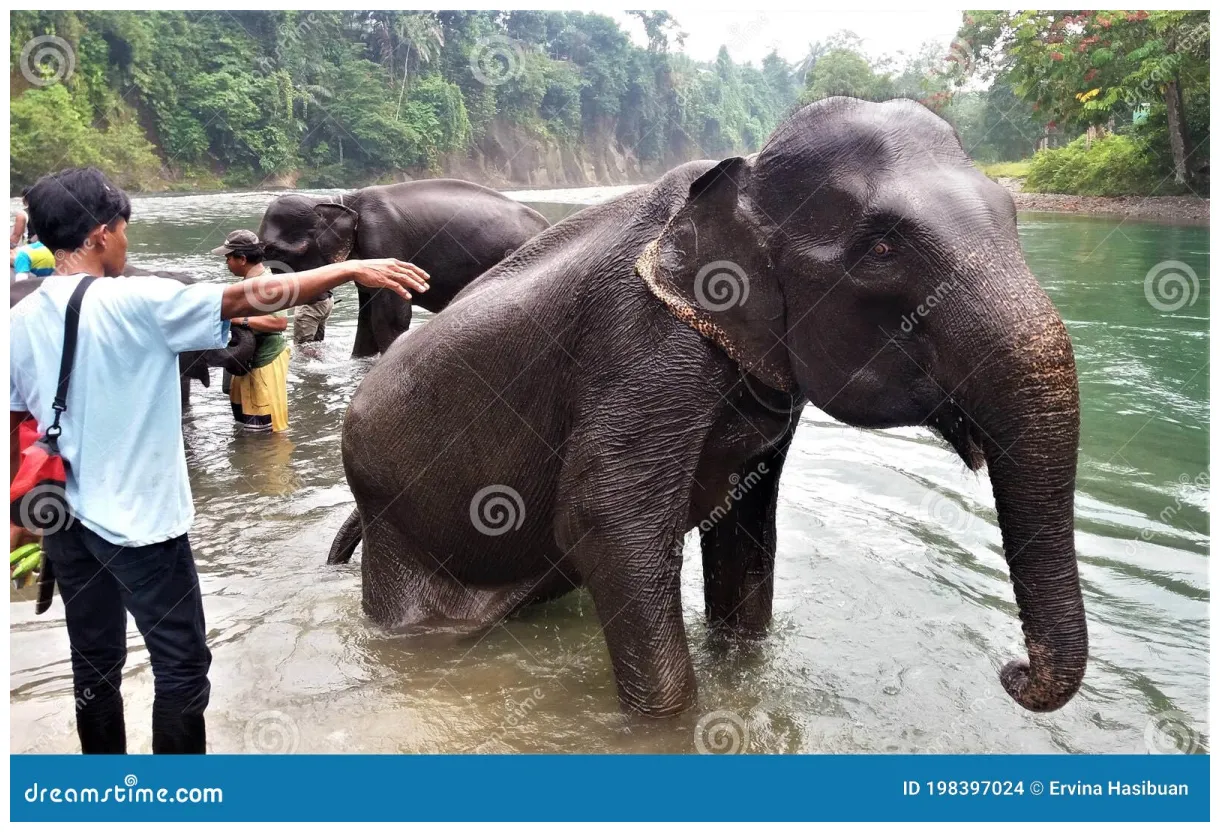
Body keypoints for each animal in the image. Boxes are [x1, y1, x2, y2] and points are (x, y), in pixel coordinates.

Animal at [327, 98, 1085, 718]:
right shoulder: (643, 342)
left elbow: (745, 529)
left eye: (1013, 218)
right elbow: (606, 523)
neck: (740, 176)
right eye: (882, 248)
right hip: (398, 527)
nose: (1013, 672)